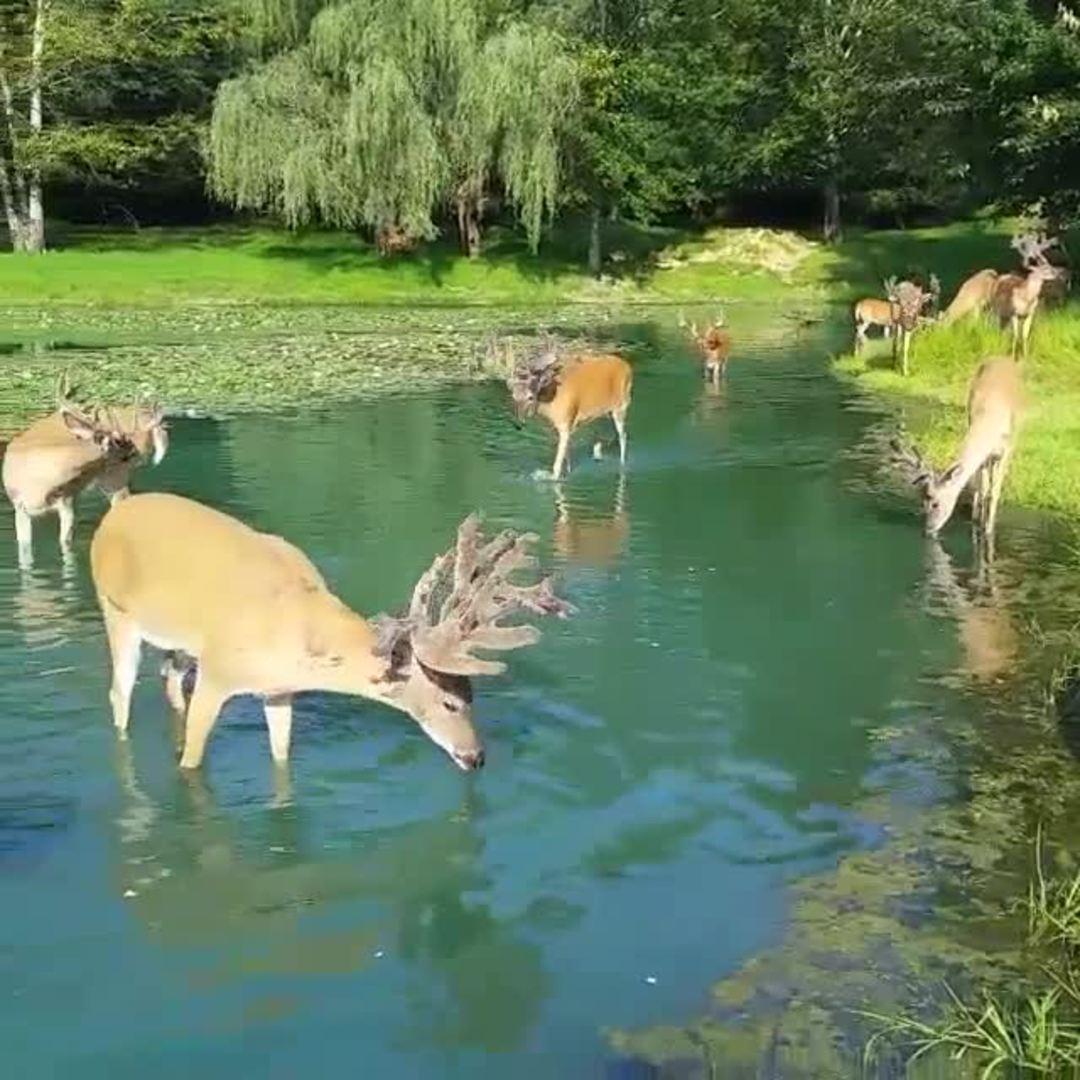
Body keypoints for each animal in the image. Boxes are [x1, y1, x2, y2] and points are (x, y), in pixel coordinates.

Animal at [2, 376, 168, 568]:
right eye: (119, 442)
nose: (138, 454)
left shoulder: (66, 500)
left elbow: (65, 543)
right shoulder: (19, 506)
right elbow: (24, 546)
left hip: (114, 479)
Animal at [89, 493, 573, 772]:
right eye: (451, 701)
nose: (476, 757)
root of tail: (114, 511)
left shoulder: (279, 689)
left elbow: (282, 757)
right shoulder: (218, 674)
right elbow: (191, 761)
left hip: (177, 642)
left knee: (169, 677)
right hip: (116, 610)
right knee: (119, 691)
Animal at [505, 338, 633, 479]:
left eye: (530, 397)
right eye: (513, 396)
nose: (518, 424)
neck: (551, 403)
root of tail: (627, 366)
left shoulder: (565, 423)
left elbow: (557, 466)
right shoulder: (557, 427)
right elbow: (566, 457)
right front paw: (568, 472)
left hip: (621, 405)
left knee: (623, 436)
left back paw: (621, 463)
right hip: (607, 411)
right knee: (612, 436)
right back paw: (598, 452)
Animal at [891, 355, 1022, 539]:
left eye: (935, 503)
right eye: (922, 501)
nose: (928, 530)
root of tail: (1002, 358)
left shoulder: (1008, 449)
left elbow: (994, 493)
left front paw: (988, 531)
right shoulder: (982, 452)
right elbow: (982, 490)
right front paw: (977, 523)